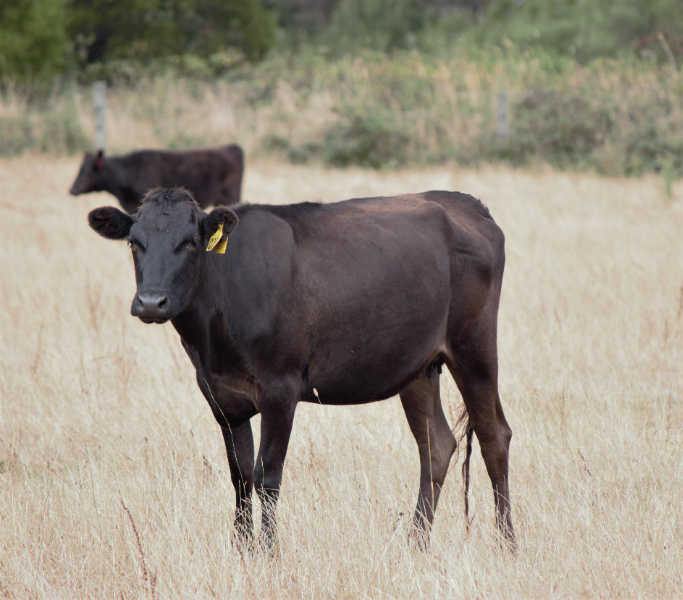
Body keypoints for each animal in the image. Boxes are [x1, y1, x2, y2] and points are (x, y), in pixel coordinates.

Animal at [87, 188, 516, 551]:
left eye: (190, 242)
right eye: (134, 243)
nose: (151, 302)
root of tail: (466, 203)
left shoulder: (281, 388)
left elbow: (267, 475)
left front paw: (267, 551)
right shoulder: (221, 395)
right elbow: (240, 474)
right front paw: (241, 549)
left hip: (474, 348)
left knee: (494, 436)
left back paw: (506, 543)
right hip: (418, 367)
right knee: (436, 446)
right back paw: (416, 544)